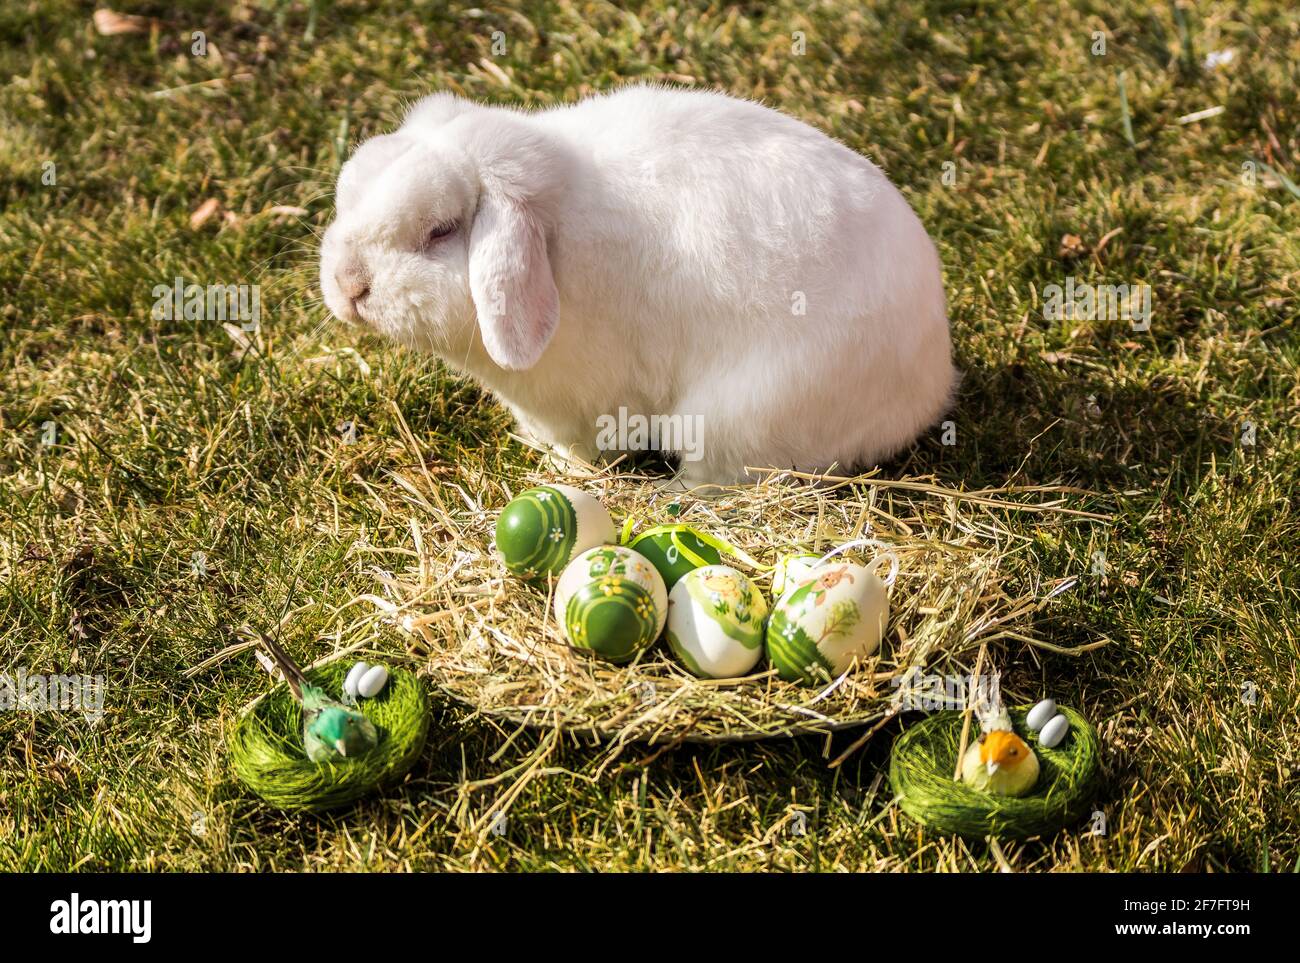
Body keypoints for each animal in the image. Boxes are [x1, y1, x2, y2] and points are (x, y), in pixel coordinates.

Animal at [319, 84, 957, 486]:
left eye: (440, 231)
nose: (349, 285)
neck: (556, 243)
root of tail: (930, 388)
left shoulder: (578, 409)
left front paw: (564, 472)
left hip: (730, 419)